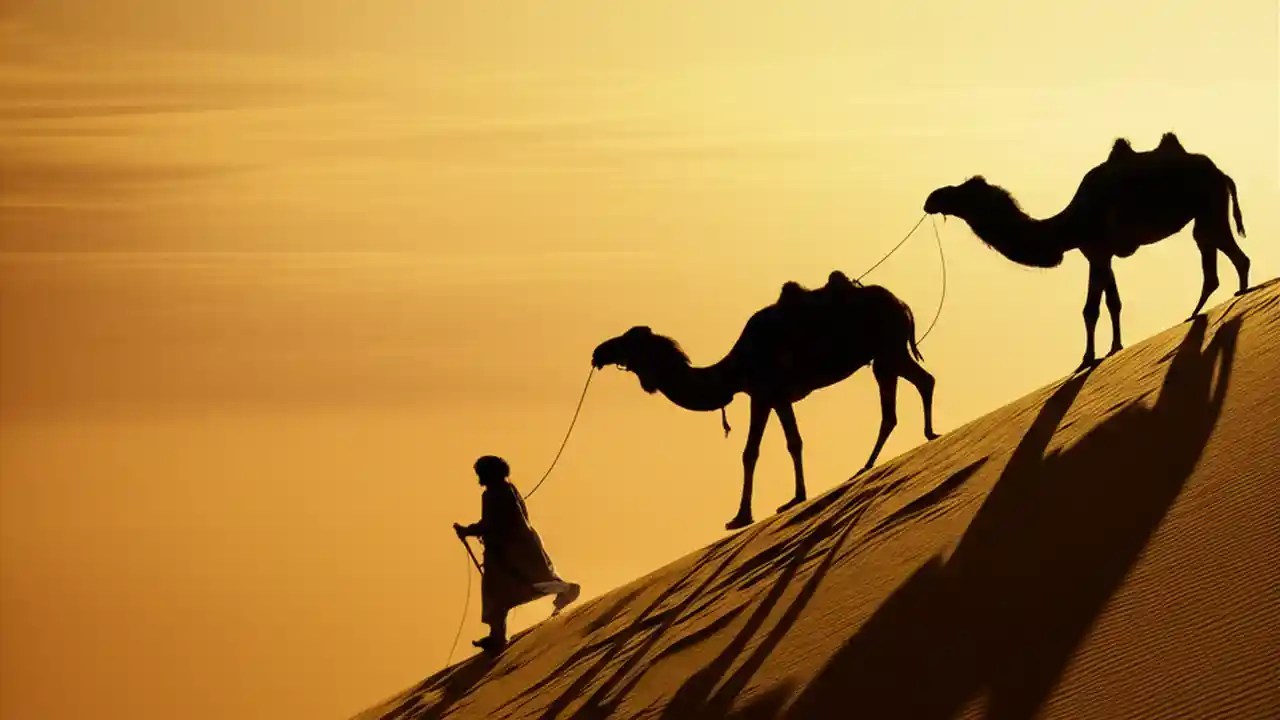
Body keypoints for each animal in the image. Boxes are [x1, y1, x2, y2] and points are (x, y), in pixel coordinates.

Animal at [591, 271, 940, 531]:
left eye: (628, 342)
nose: (598, 352)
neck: (735, 367)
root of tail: (902, 304)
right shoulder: (777, 397)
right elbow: (790, 443)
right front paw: (794, 498)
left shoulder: (762, 393)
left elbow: (754, 452)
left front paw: (742, 516)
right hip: (888, 352)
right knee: (922, 383)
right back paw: (921, 438)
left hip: (886, 350)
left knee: (895, 404)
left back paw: (870, 463)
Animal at [923, 132, 1250, 372]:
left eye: (967, 191)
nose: (932, 198)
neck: (1069, 224)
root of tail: (1221, 171)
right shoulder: (1097, 254)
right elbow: (1111, 303)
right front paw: (1114, 348)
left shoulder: (1099, 250)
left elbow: (1092, 308)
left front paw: (1087, 359)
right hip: (1204, 208)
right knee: (1217, 254)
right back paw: (1217, 303)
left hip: (1208, 203)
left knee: (1222, 249)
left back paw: (1226, 300)